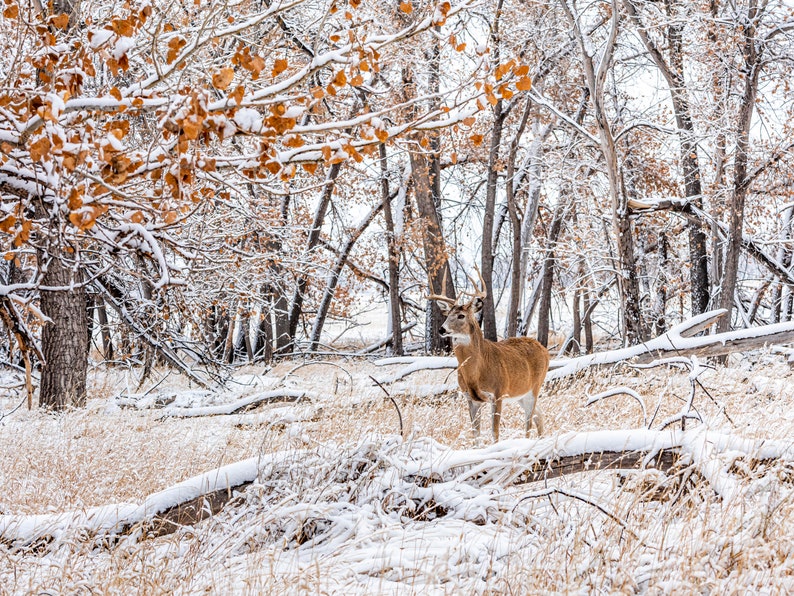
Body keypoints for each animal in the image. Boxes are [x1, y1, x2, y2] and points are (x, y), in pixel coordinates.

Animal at [427, 269, 549, 442]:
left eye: (461, 316)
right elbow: (475, 434)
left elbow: (495, 432)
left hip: (535, 386)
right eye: (447, 314)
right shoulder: (470, 398)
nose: (442, 329)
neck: (476, 372)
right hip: (521, 393)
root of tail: (544, 350)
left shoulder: (498, 393)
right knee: (540, 414)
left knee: (529, 422)